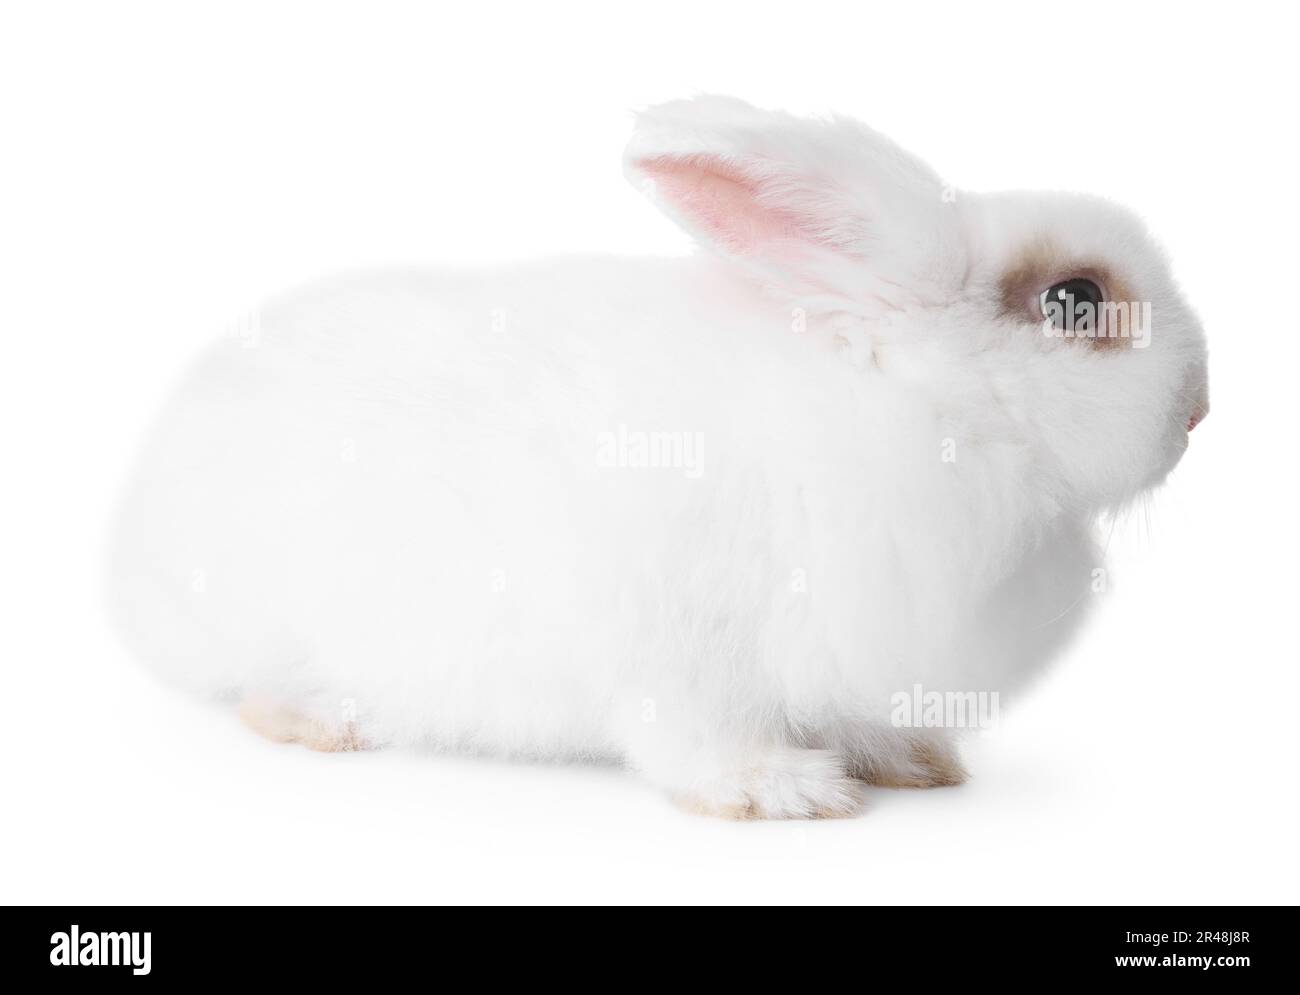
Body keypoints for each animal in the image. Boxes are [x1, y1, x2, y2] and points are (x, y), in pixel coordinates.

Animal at [108, 95, 1209, 819]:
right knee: (260, 693)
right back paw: (331, 724)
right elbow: (697, 745)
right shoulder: (683, 659)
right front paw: (786, 790)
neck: (922, 412)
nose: (1201, 409)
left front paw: (917, 764)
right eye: (1075, 300)